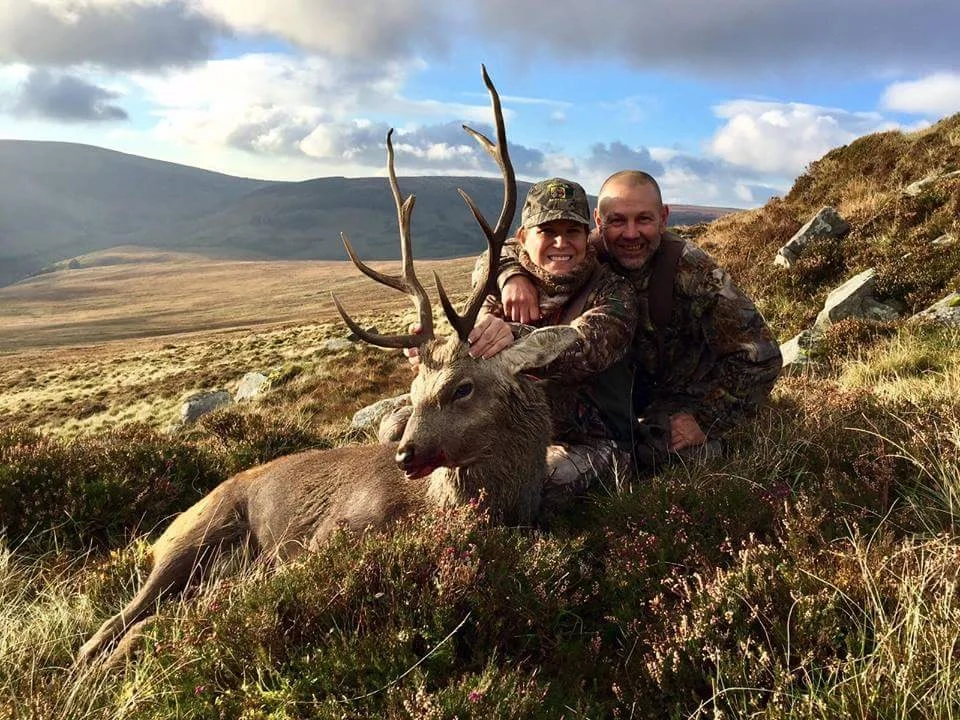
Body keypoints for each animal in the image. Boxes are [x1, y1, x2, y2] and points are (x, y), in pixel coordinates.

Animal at [77, 66, 579, 668]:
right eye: (412, 392)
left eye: (462, 388)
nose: (405, 452)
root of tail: (159, 531)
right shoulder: (327, 535)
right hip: (189, 540)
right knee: (113, 627)